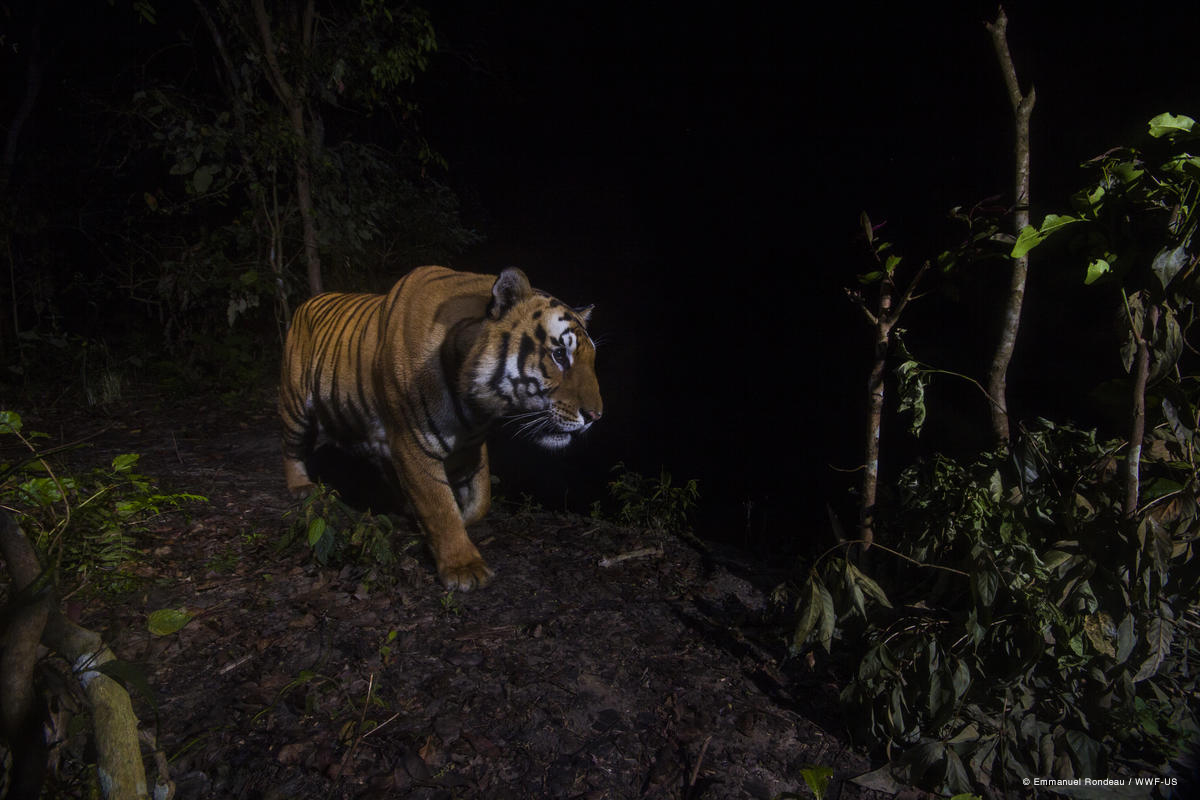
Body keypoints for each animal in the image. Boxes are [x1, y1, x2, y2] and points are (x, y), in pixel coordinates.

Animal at [279, 265, 602, 590]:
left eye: (591, 359)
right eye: (559, 355)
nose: (596, 416)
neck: (474, 403)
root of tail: (307, 301)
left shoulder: (470, 444)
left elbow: (480, 499)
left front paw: (460, 521)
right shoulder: (412, 441)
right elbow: (439, 506)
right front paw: (463, 568)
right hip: (296, 404)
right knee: (290, 448)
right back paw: (299, 486)